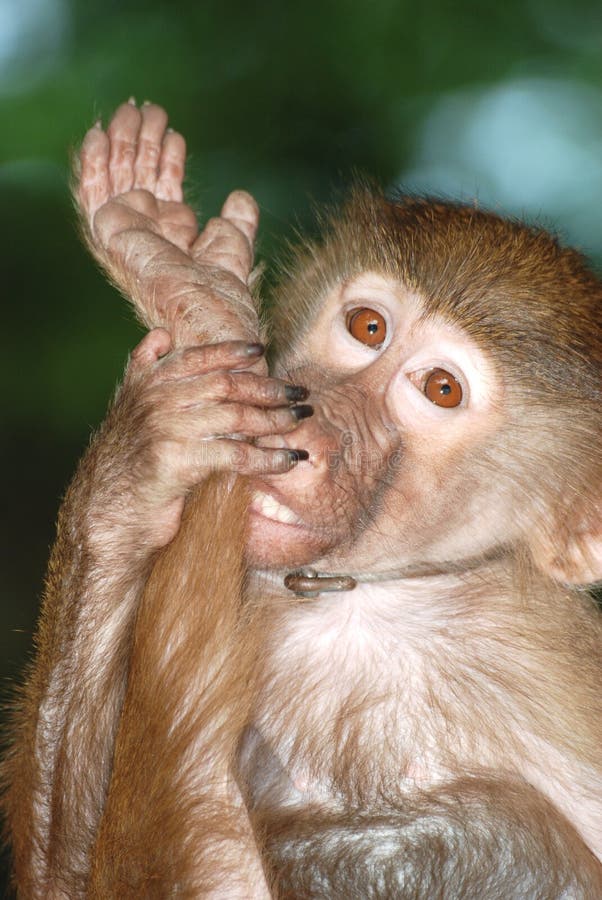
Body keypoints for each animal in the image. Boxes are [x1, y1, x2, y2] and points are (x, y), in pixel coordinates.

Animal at [2, 99, 602, 899]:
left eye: (442, 390)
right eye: (368, 327)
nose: (310, 428)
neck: (357, 602)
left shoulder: (551, 661)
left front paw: (206, 305)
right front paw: (179, 333)